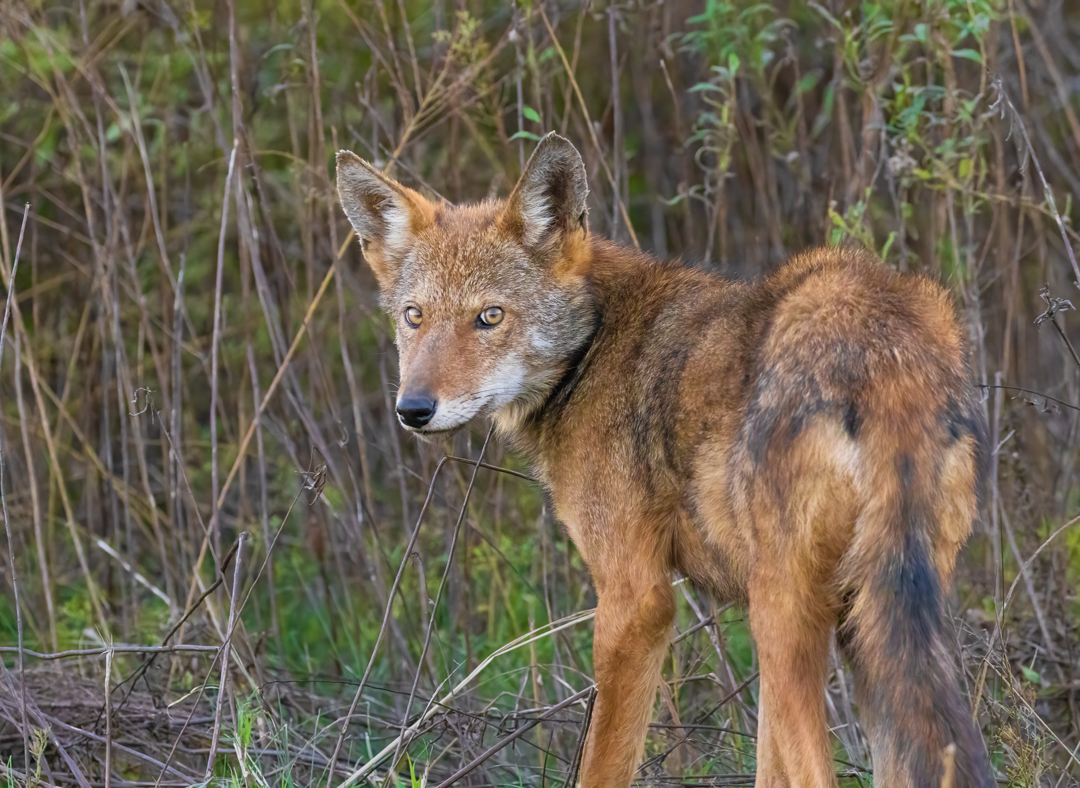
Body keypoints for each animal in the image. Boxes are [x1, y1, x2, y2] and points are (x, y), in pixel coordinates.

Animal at [336, 133, 992, 788]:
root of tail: (886, 352)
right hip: (871, 626)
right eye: (414, 317)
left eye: (489, 317)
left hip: (787, 619)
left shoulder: (636, 601)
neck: (594, 345)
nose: (413, 409)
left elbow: (602, 766)